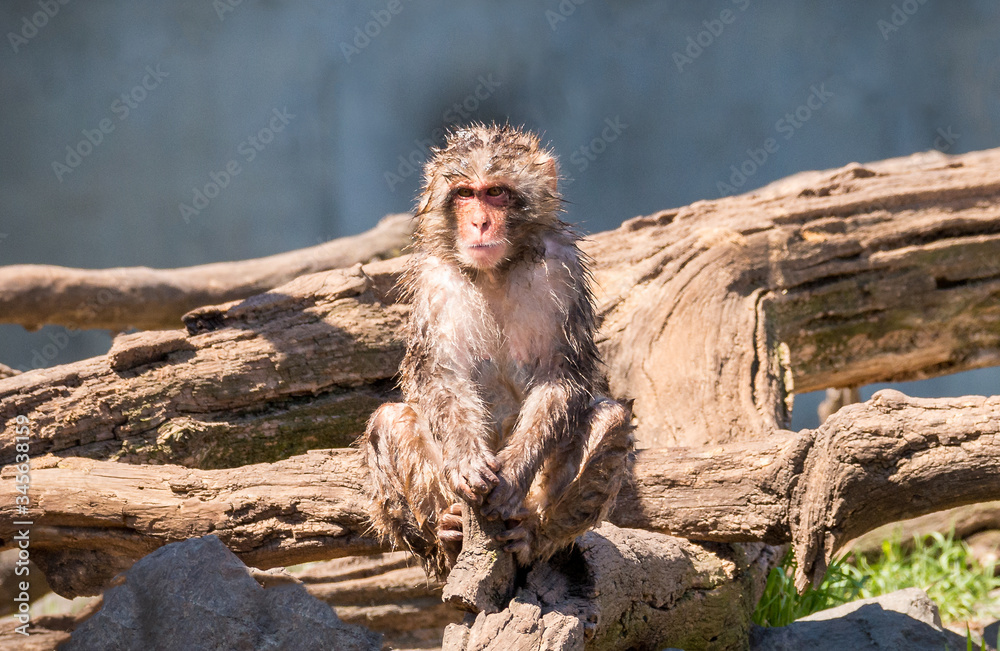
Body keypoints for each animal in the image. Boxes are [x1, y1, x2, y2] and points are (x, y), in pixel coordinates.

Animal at [361, 124, 633, 576]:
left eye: (496, 193)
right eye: (465, 194)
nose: (480, 222)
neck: (495, 271)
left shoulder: (562, 269)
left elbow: (560, 377)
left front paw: (512, 473)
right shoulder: (435, 281)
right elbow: (440, 374)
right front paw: (469, 461)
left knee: (610, 418)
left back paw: (533, 536)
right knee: (389, 419)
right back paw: (447, 535)